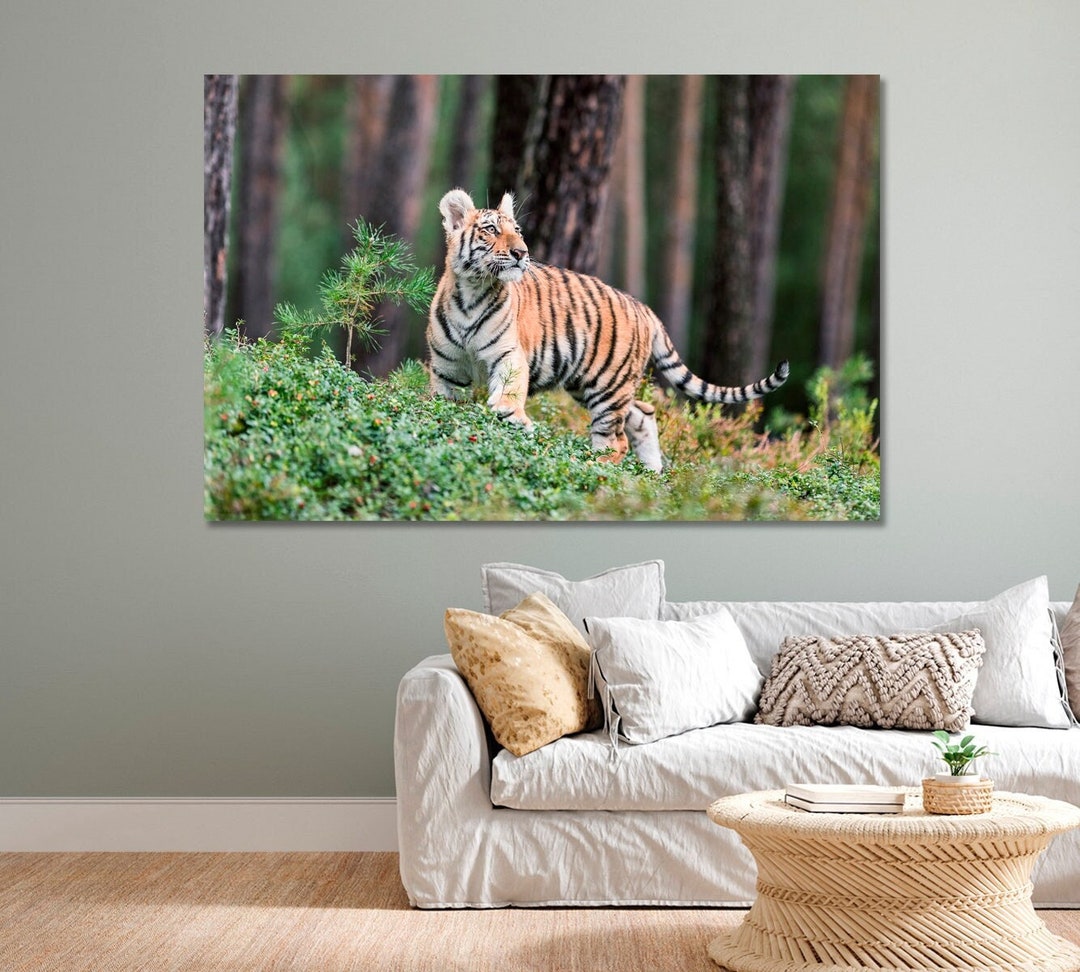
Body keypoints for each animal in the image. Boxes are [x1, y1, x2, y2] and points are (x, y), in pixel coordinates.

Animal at [426, 188, 789, 472]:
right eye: (490, 229)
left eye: (518, 231)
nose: (521, 253)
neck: (472, 293)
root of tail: (643, 308)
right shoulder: (446, 368)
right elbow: (441, 399)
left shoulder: (509, 354)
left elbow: (510, 388)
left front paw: (510, 414)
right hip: (592, 383)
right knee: (643, 413)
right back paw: (652, 471)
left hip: (607, 388)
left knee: (616, 442)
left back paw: (589, 465)